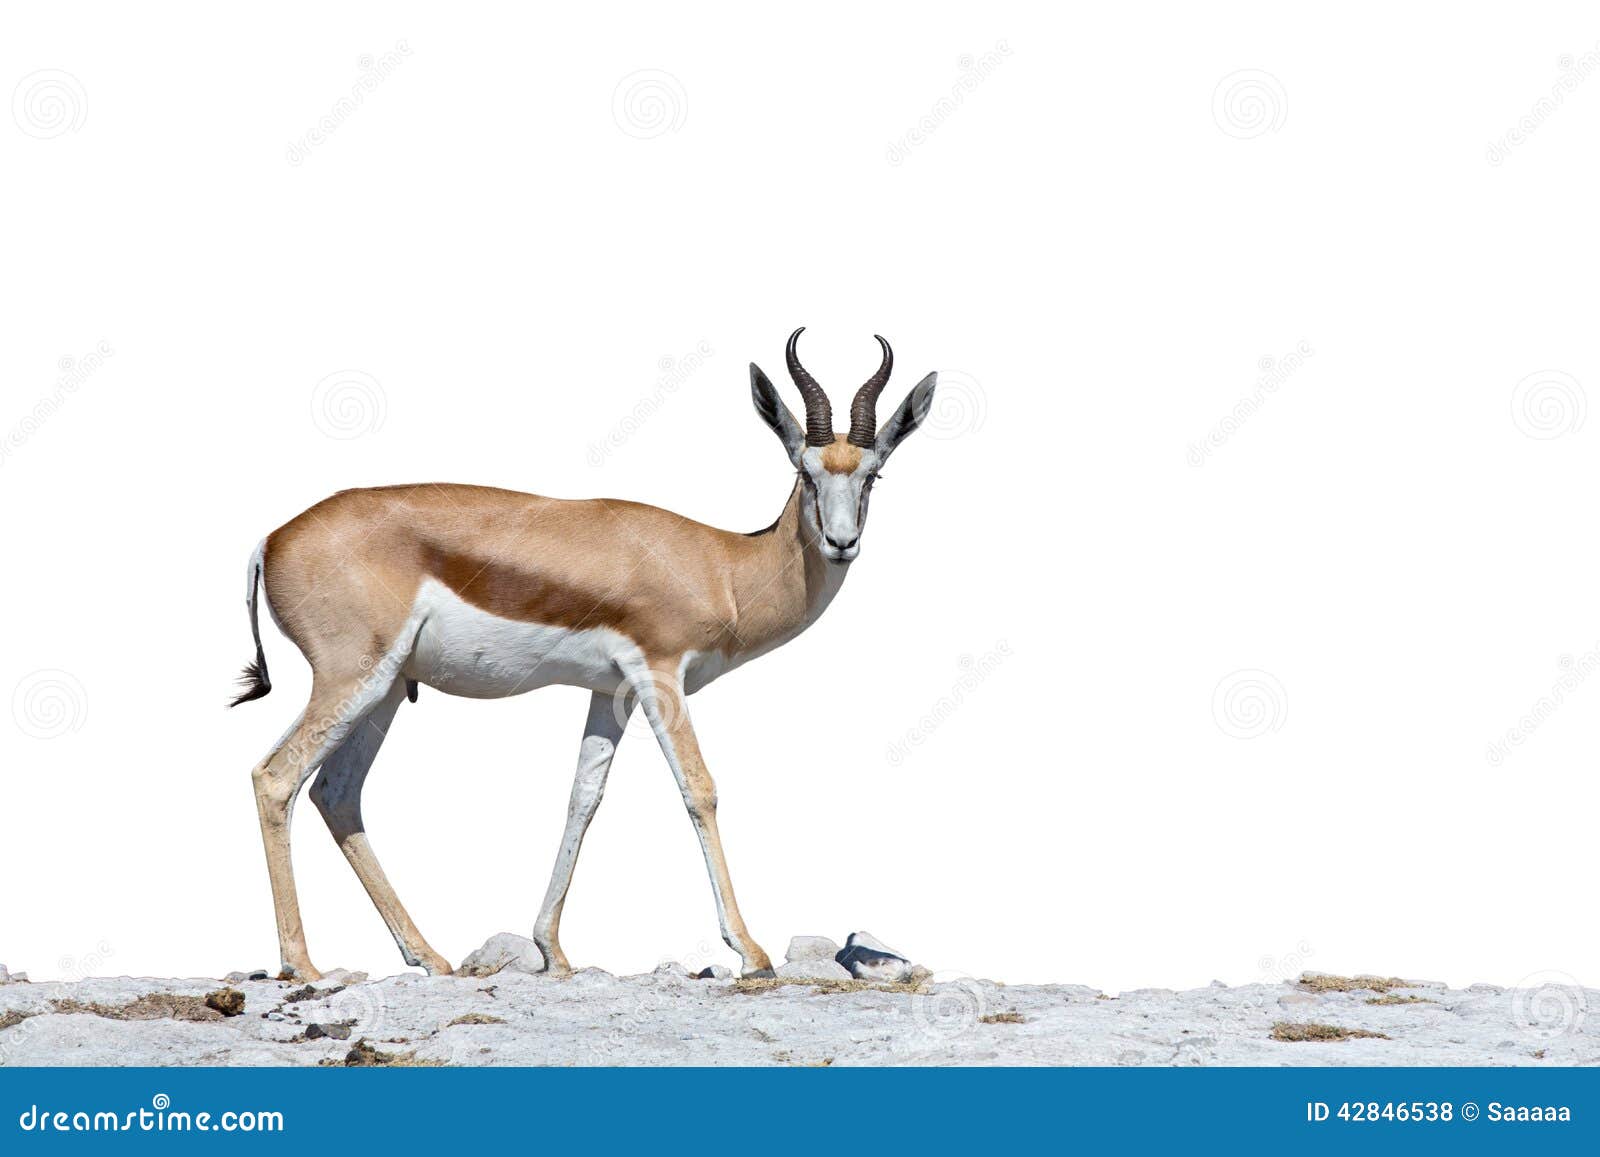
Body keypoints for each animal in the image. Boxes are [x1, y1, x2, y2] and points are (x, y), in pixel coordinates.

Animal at [232, 329, 938, 980]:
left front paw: (552, 948)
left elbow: (583, 798)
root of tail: (272, 539)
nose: (841, 543)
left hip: (383, 691)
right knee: (276, 778)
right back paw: (302, 965)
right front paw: (751, 952)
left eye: (872, 473)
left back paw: (429, 957)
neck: (722, 565)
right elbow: (699, 789)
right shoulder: (659, 674)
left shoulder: (610, 691)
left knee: (337, 794)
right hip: (350, 678)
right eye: (805, 472)